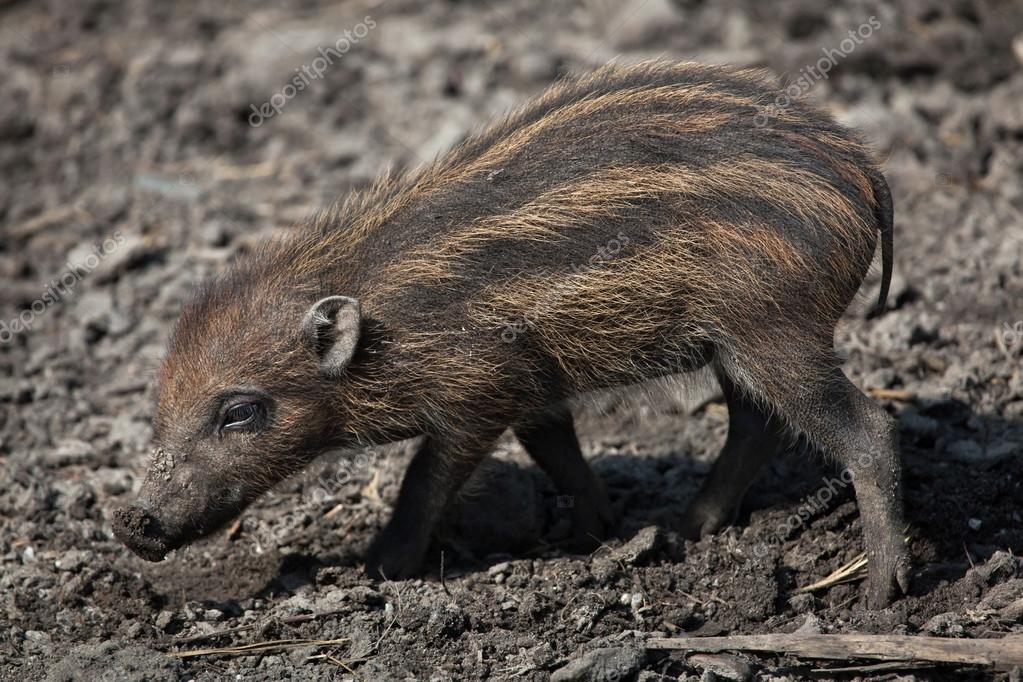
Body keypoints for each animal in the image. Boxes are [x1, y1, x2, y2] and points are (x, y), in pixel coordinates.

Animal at [111, 60, 909, 608]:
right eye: (158, 410)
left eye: (240, 411)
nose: (128, 522)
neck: (388, 325)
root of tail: (861, 167)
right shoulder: (533, 384)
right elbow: (557, 452)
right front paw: (596, 534)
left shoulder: (478, 390)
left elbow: (424, 480)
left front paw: (380, 569)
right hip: (739, 343)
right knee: (756, 424)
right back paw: (685, 530)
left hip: (771, 327)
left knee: (866, 428)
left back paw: (877, 597)